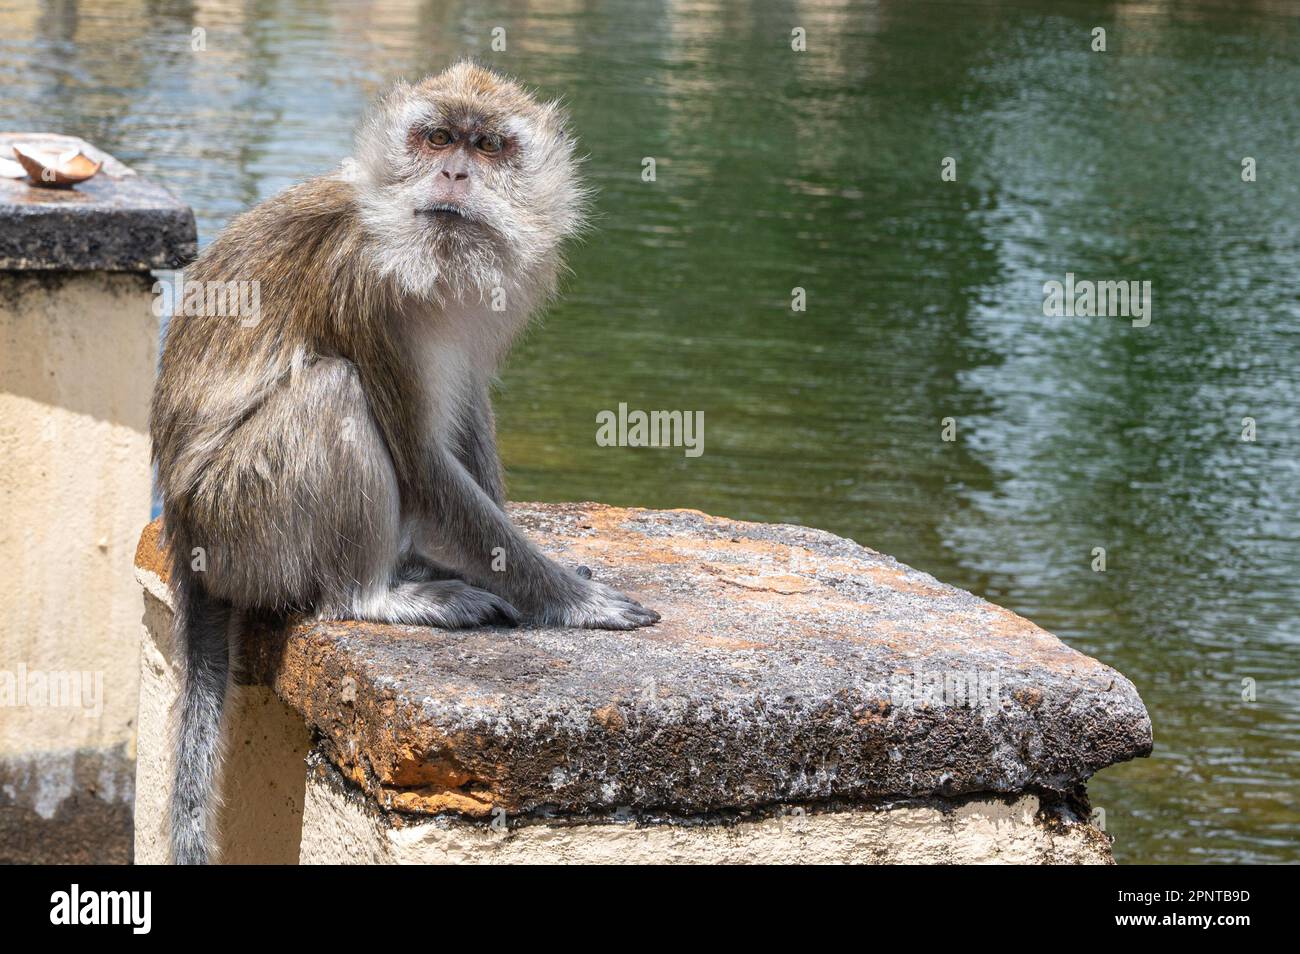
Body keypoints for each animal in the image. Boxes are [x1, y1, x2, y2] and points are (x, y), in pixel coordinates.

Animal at [150, 62, 660, 865]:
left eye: (488, 146)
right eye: (437, 138)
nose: (454, 172)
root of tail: (182, 531)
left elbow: (466, 406)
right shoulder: (364, 283)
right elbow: (420, 462)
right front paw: (574, 602)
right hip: (241, 521)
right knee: (334, 389)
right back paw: (375, 595)